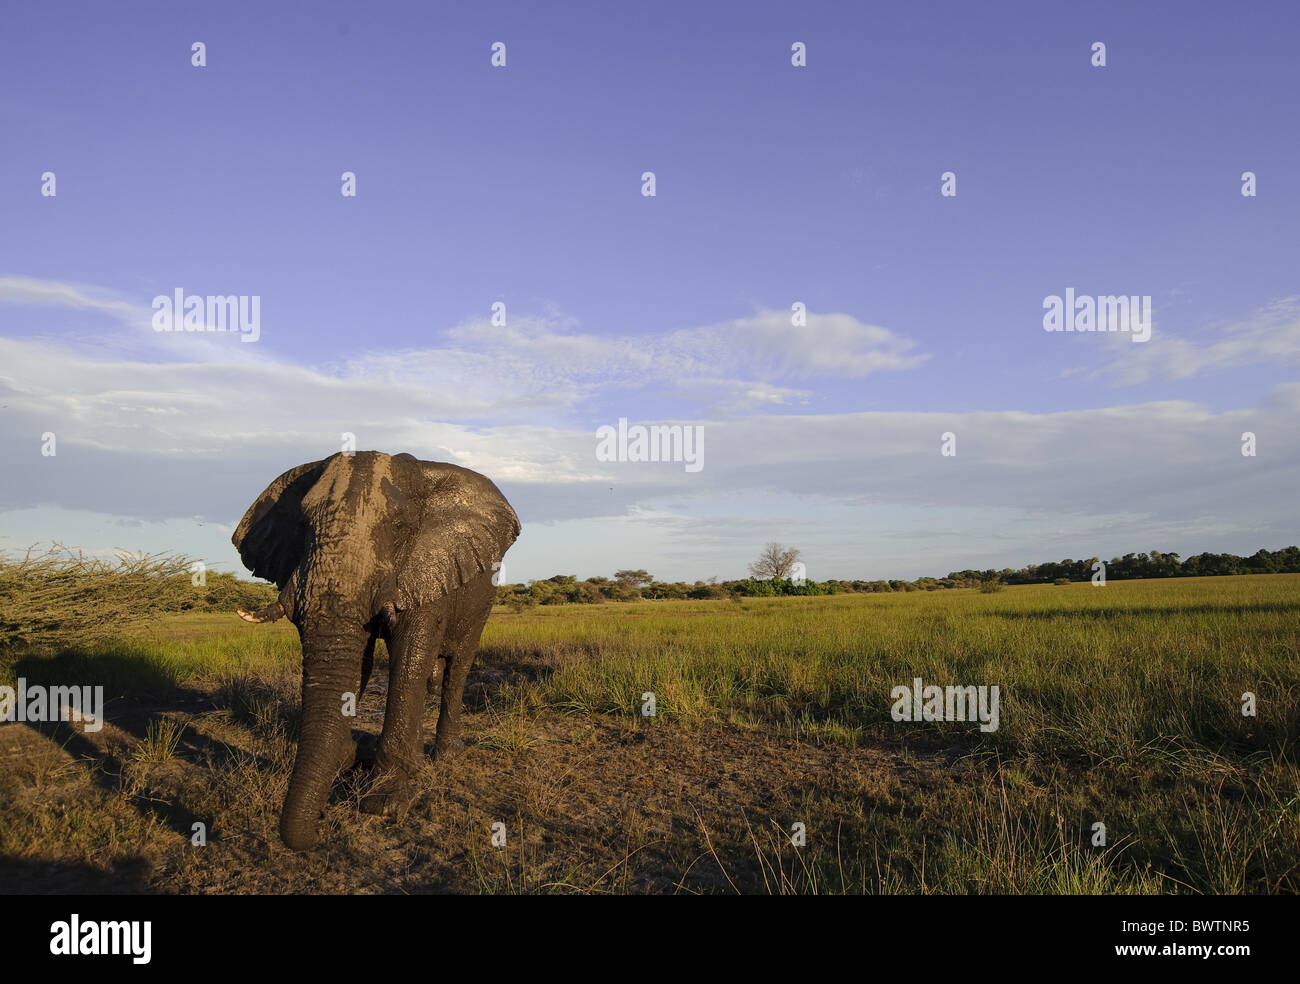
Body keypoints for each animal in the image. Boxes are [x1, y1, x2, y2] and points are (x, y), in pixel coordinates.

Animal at [231, 450, 520, 850]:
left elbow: (411, 656)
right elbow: (360, 664)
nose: (319, 826)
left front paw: (384, 803)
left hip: (483, 599)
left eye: (398, 527)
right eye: (303, 526)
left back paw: (446, 756)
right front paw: (348, 764)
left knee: (458, 665)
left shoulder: (428, 565)